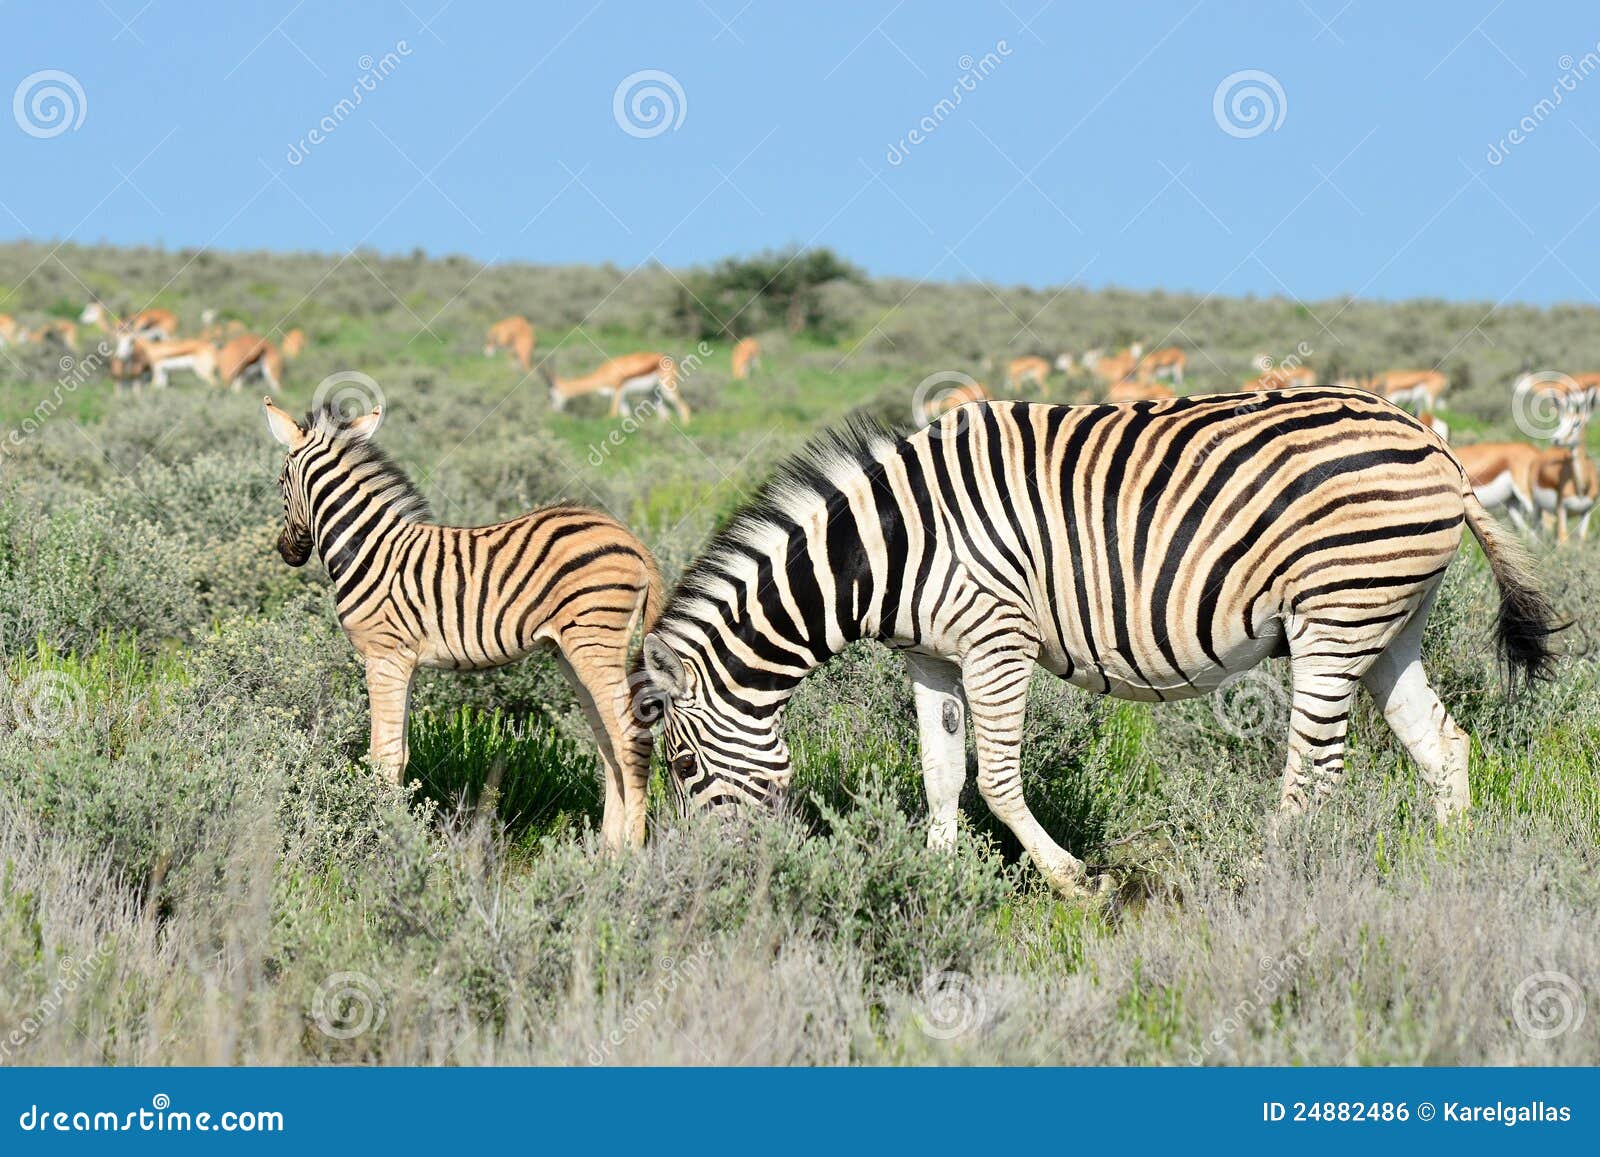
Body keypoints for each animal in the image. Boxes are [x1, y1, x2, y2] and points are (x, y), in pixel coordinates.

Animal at [263, 398, 662, 852]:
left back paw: (631, 852)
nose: (287, 553)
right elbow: (400, 752)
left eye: (279, 481)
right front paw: (395, 830)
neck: (368, 548)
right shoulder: (404, 662)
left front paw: (378, 835)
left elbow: (383, 755)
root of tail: (631, 540)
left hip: (594, 642)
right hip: (572, 651)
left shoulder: (383, 656)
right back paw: (606, 851)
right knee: (608, 742)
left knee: (632, 736)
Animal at [542, 352, 689, 421]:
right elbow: (625, 415)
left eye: (551, 395)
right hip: (652, 394)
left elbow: (611, 414)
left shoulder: (617, 391)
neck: (603, 374)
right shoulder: (622, 396)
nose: (551, 412)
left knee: (684, 408)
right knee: (665, 415)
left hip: (667, 390)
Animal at [637, 387, 1561, 893]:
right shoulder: (930, 654)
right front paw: (934, 879)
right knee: (1443, 744)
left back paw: (1271, 878)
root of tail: (1433, 443)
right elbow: (940, 774)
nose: (709, 878)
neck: (887, 550)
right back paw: (1448, 871)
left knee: (1315, 772)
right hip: (1388, 620)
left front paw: (1077, 881)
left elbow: (996, 778)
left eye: (680, 765)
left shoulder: (996, 636)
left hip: (1335, 616)